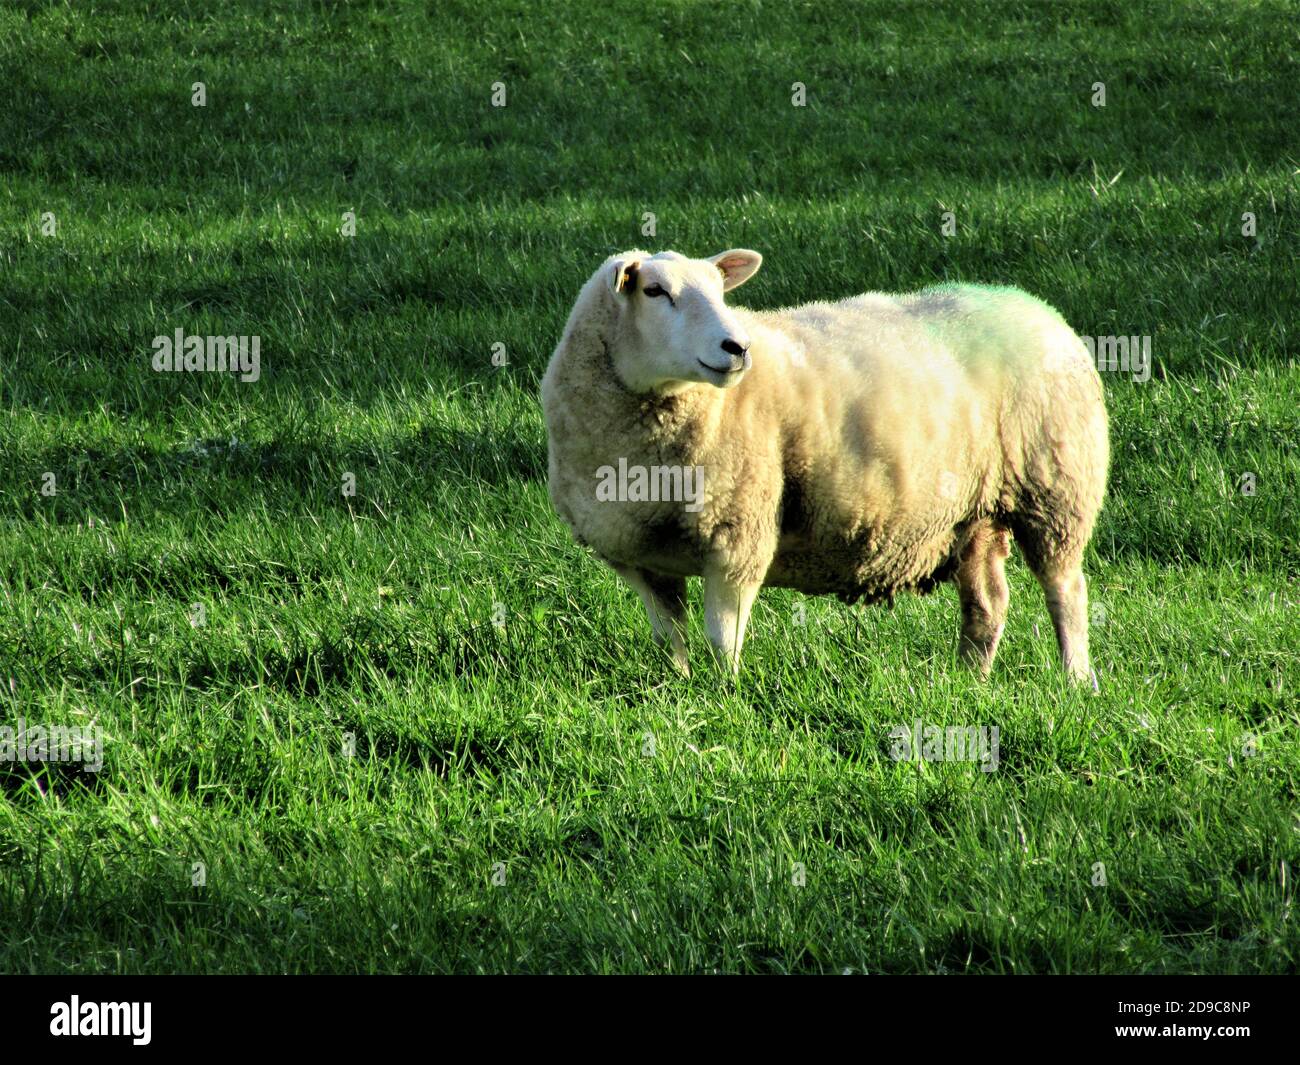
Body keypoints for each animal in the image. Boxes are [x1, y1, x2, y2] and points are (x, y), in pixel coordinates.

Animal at [541, 248, 1109, 681]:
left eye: (722, 293)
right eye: (655, 292)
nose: (737, 347)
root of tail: (1036, 306)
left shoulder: (738, 540)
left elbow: (722, 640)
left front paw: (724, 694)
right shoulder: (640, 558)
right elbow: (669, 641)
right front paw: (676, 689)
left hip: (1056, 490)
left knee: (1066, 592)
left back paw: (1077, 680)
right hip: (974, 514)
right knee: (988, 602)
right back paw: (970, 680)